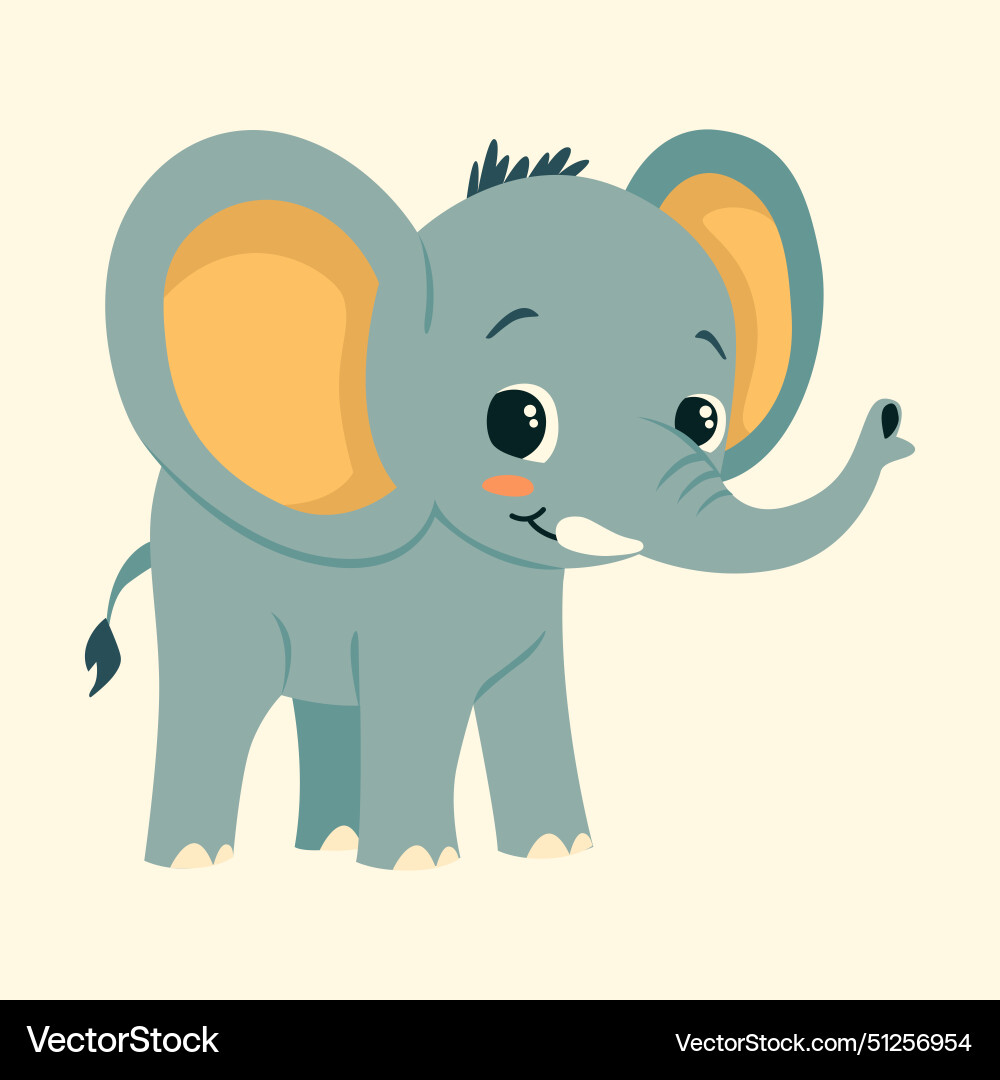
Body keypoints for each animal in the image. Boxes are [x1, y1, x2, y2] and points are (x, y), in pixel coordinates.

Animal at [85, 129, 913, 871]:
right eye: (518, 420)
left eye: (702, 418)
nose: (892, 422)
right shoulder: (409, 610)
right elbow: (417, 706)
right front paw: (419, 866)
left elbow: (531, 708)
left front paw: (556, 852)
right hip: (207, 593)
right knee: (222, 698)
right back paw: (196, 861)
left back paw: (331, 846)